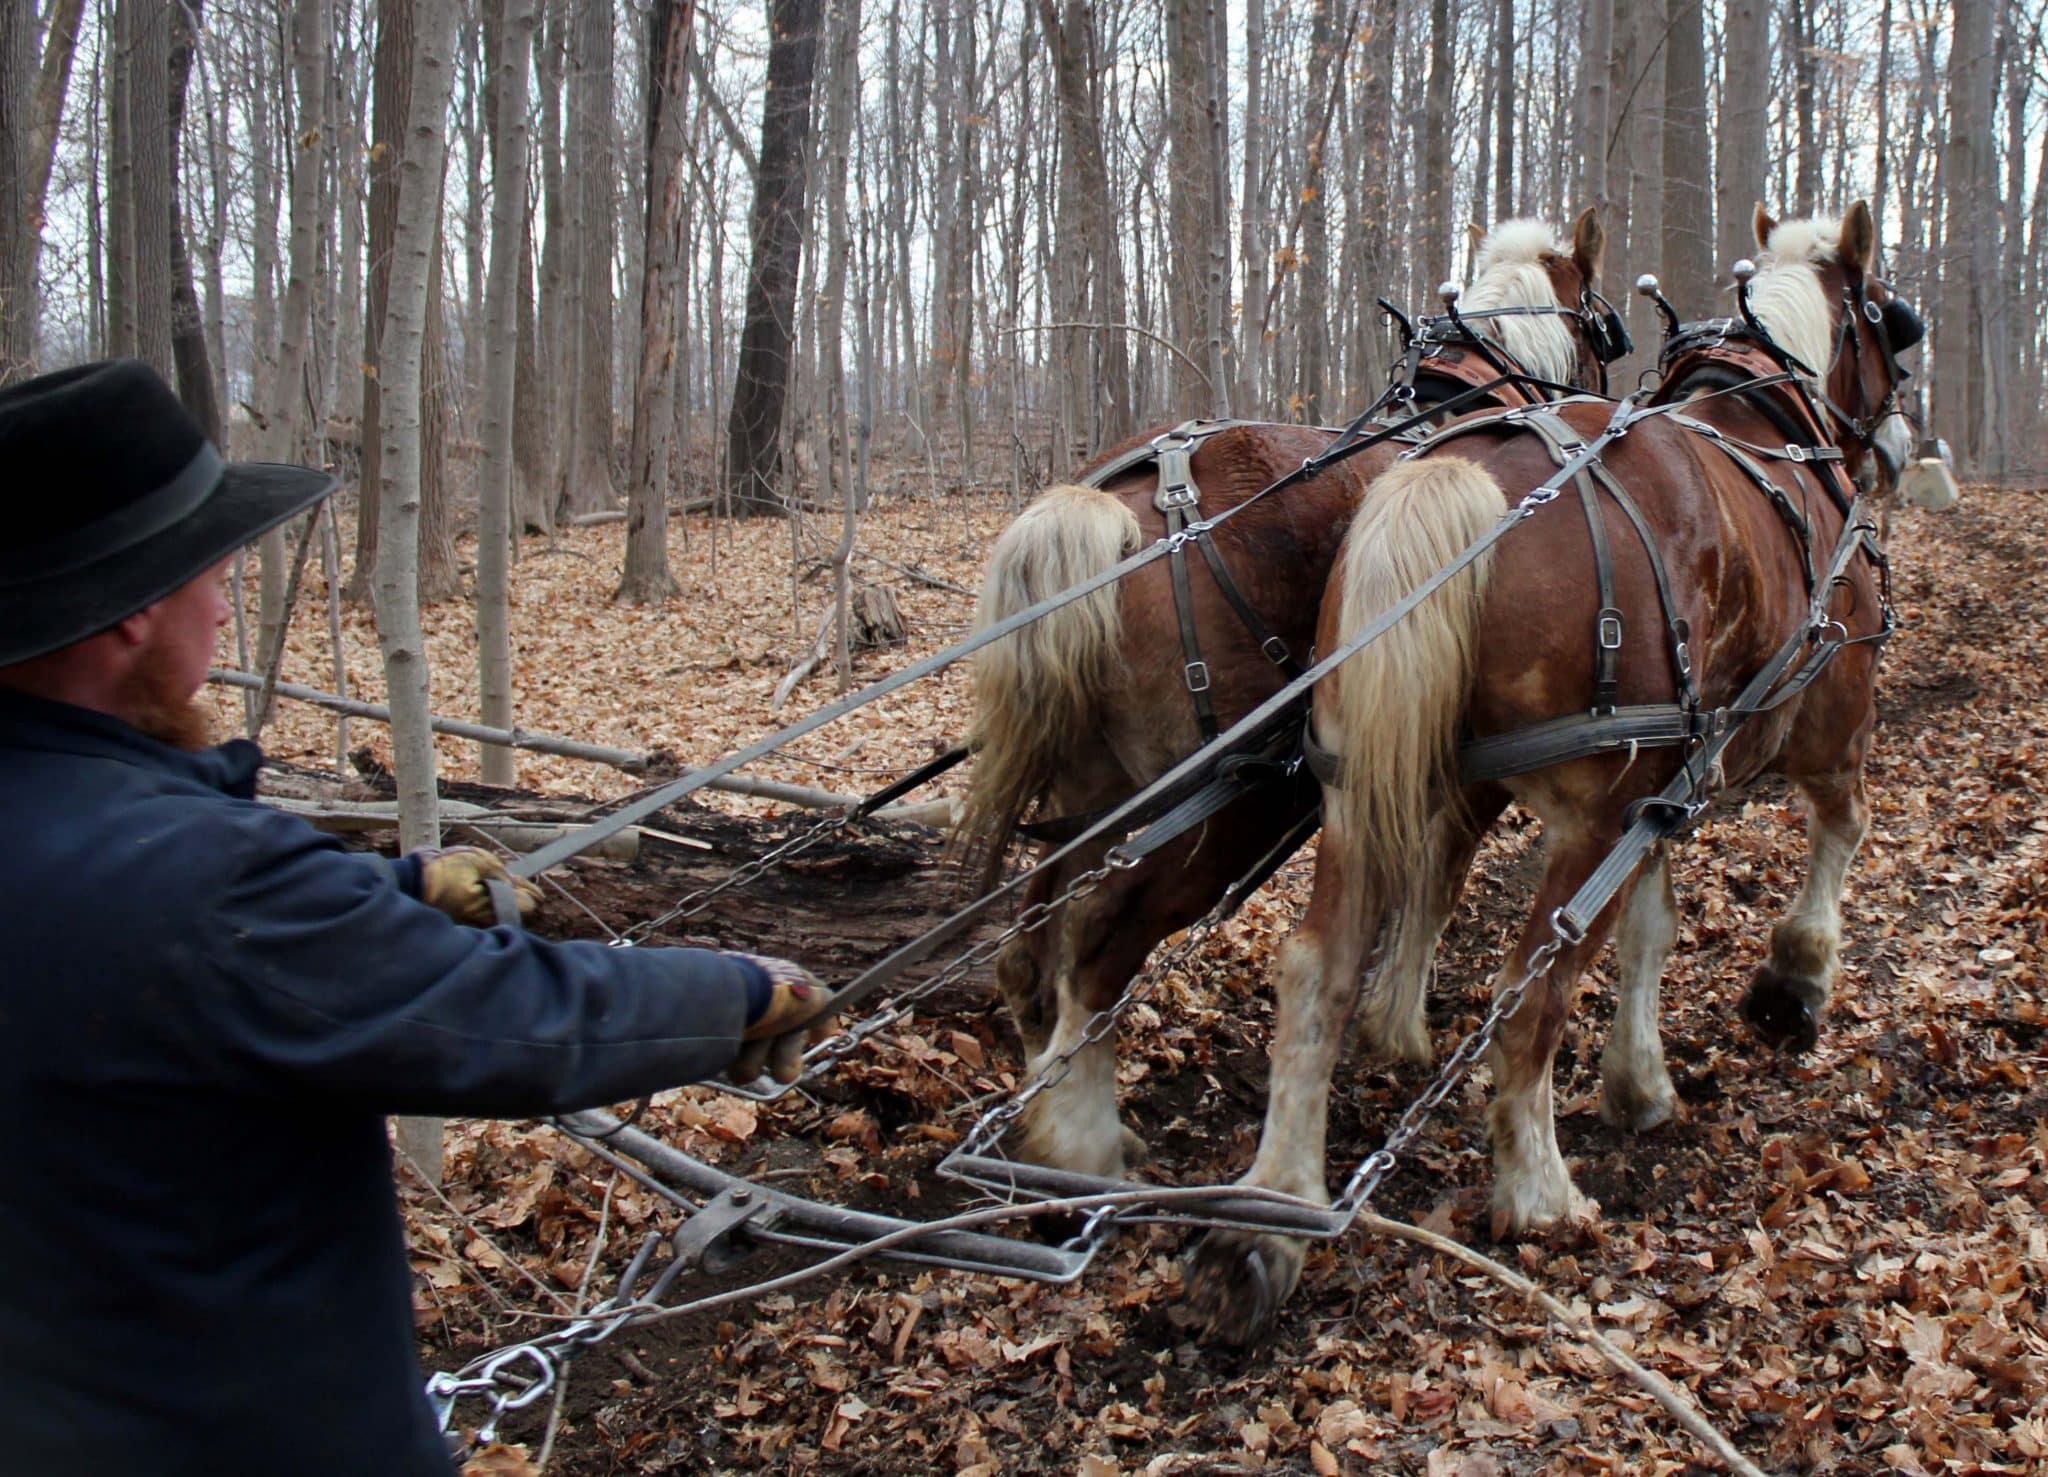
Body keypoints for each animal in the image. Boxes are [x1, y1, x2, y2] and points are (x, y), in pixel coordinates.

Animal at [953, 210, 1623, 1186]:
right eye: (1604, 333)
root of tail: (1107, 510)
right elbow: (1433, 878)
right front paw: (1396, 1021)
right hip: (1230, 806)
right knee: (1100, 941)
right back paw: (1082, 1142)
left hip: (1100, 788)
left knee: (1036, 940)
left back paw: (1053, 1097)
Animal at [1183, 201, 1918, 1343]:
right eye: (1892, 321)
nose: (1896, 442)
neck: (1768, 420)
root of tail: (1457, 480)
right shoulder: (1830, 715)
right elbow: (1840, 833)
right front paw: (1793, 982)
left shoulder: (1668, 788)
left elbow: (1651, 932)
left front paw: (1639, 1083)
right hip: (1590, 816)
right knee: (1529, 990)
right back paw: (1537, 1193)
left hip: (1359, 791)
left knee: (1316, 971)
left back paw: (1266, 1220)